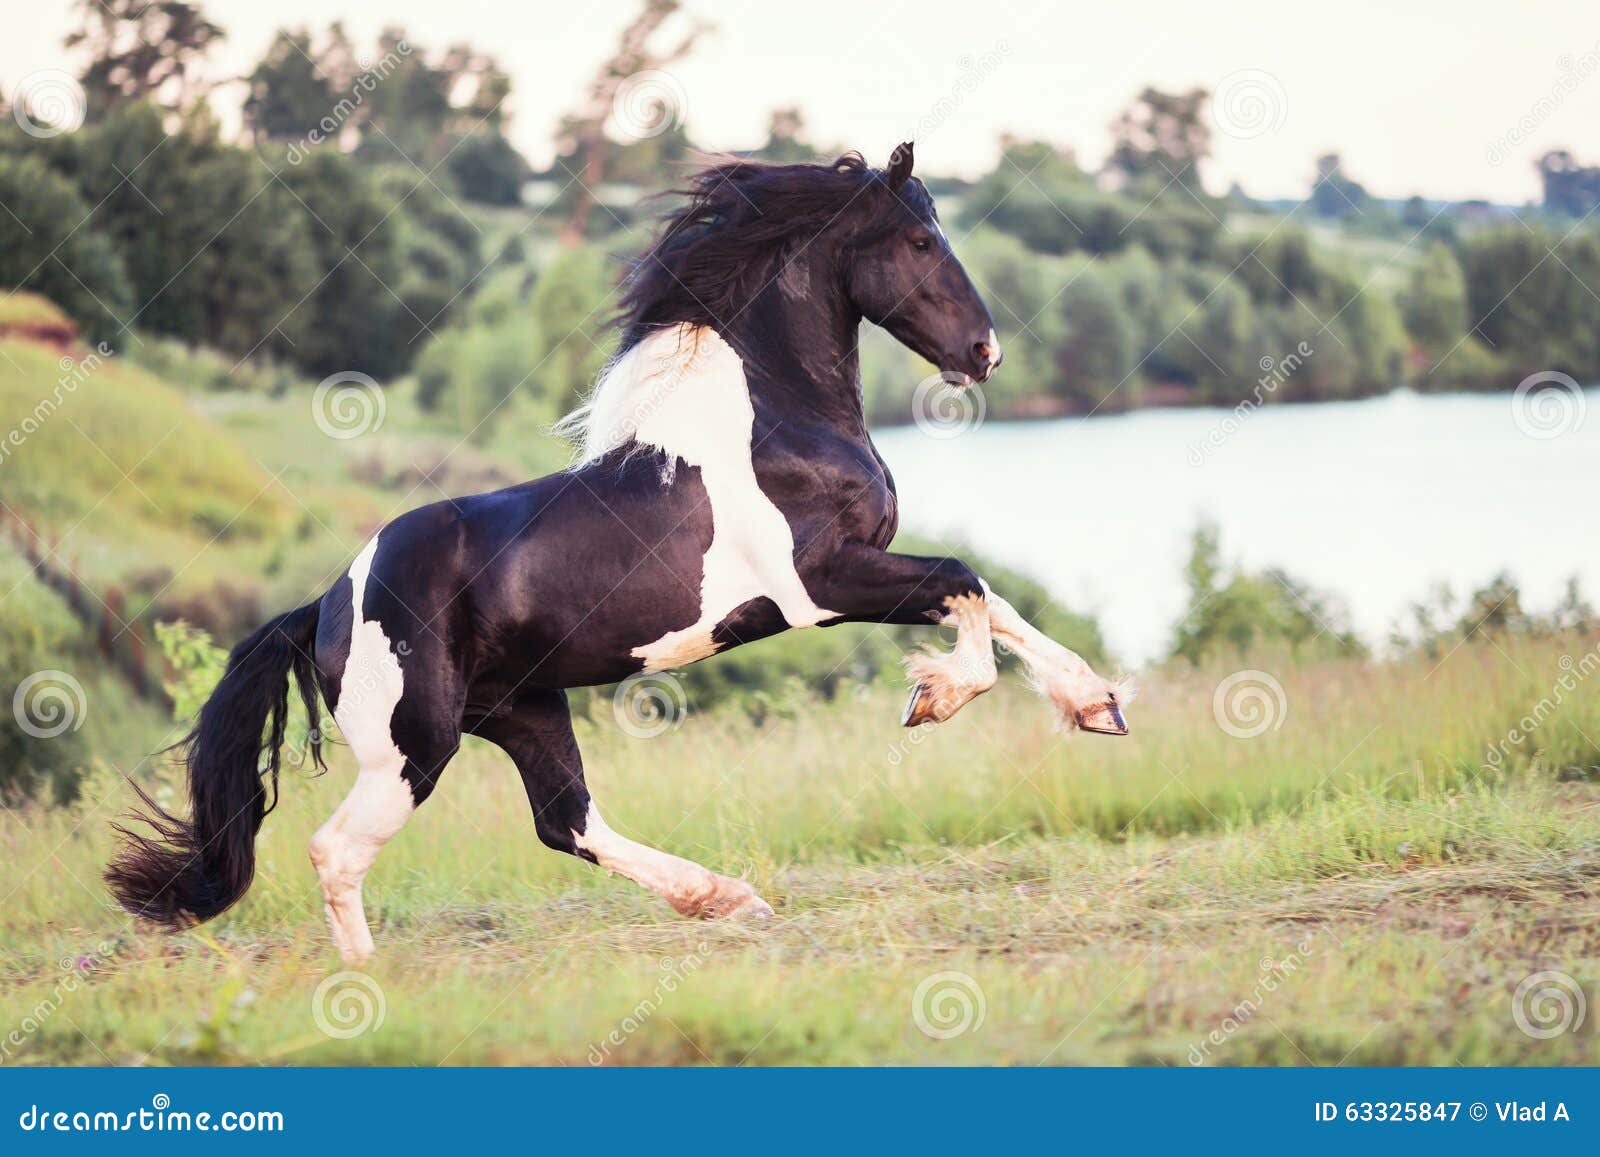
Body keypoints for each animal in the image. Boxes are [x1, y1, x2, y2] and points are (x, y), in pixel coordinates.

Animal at [106, 143, 1131, 964]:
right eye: (919, 241)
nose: (986, 352)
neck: (777, 422)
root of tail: (321, 605)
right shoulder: (821, 583)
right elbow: (966, 585)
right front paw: (935, 697)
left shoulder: (855, 571)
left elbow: (994, 600)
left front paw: (1097, 706)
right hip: (413, 745)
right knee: (339, 849)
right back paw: (365, 989)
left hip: (523, 708)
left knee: (567, 821)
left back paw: (726, 896)